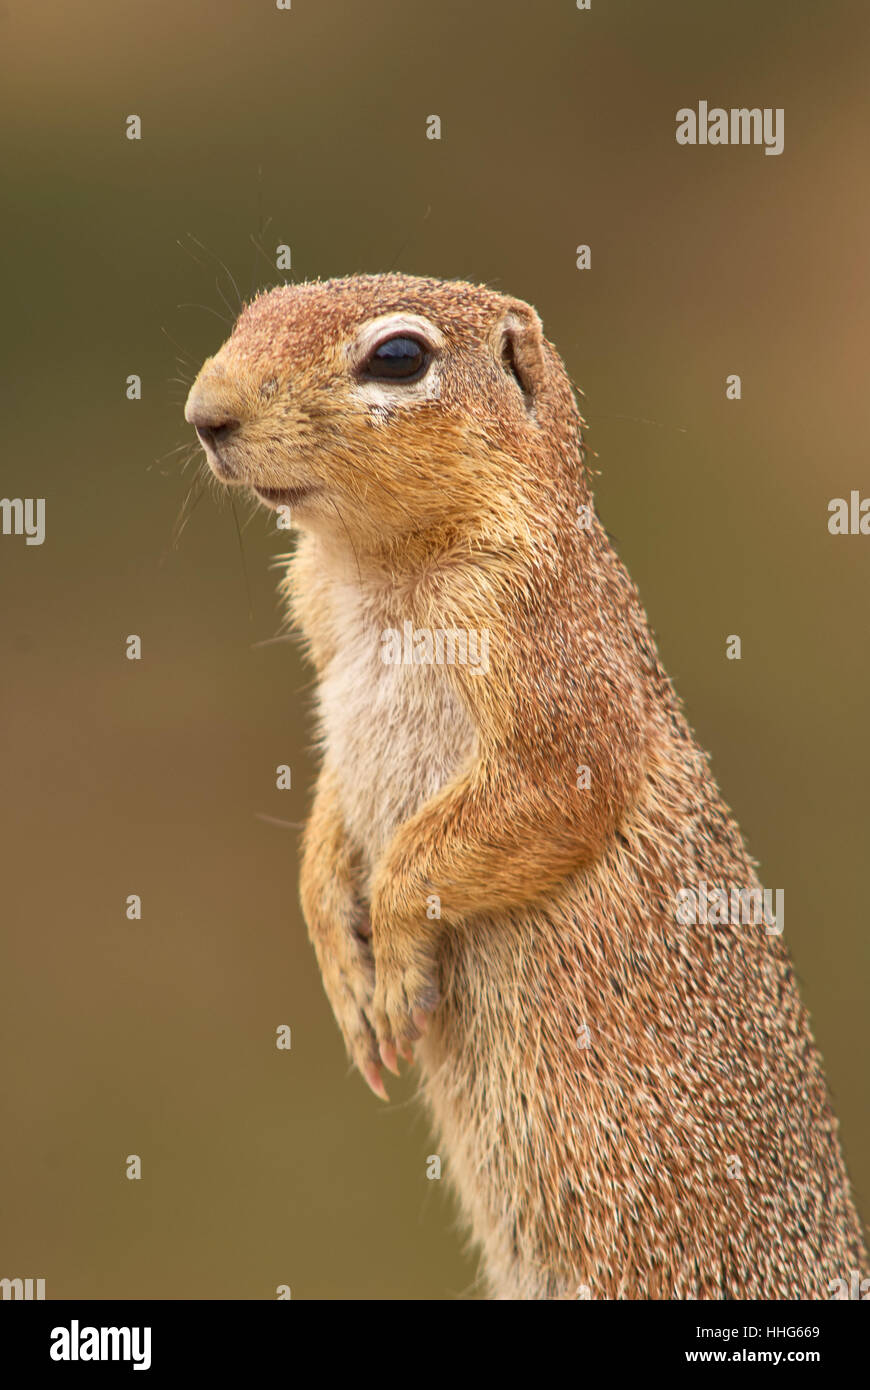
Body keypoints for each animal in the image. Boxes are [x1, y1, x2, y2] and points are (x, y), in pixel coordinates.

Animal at [185, 272, 867, 1299]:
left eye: (398, 357)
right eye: (253, 310)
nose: (204, 413)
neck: (374, 572)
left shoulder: (547, 664)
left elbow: (528, 808)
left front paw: (395, 961)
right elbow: (332, 818)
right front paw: (345, 968)